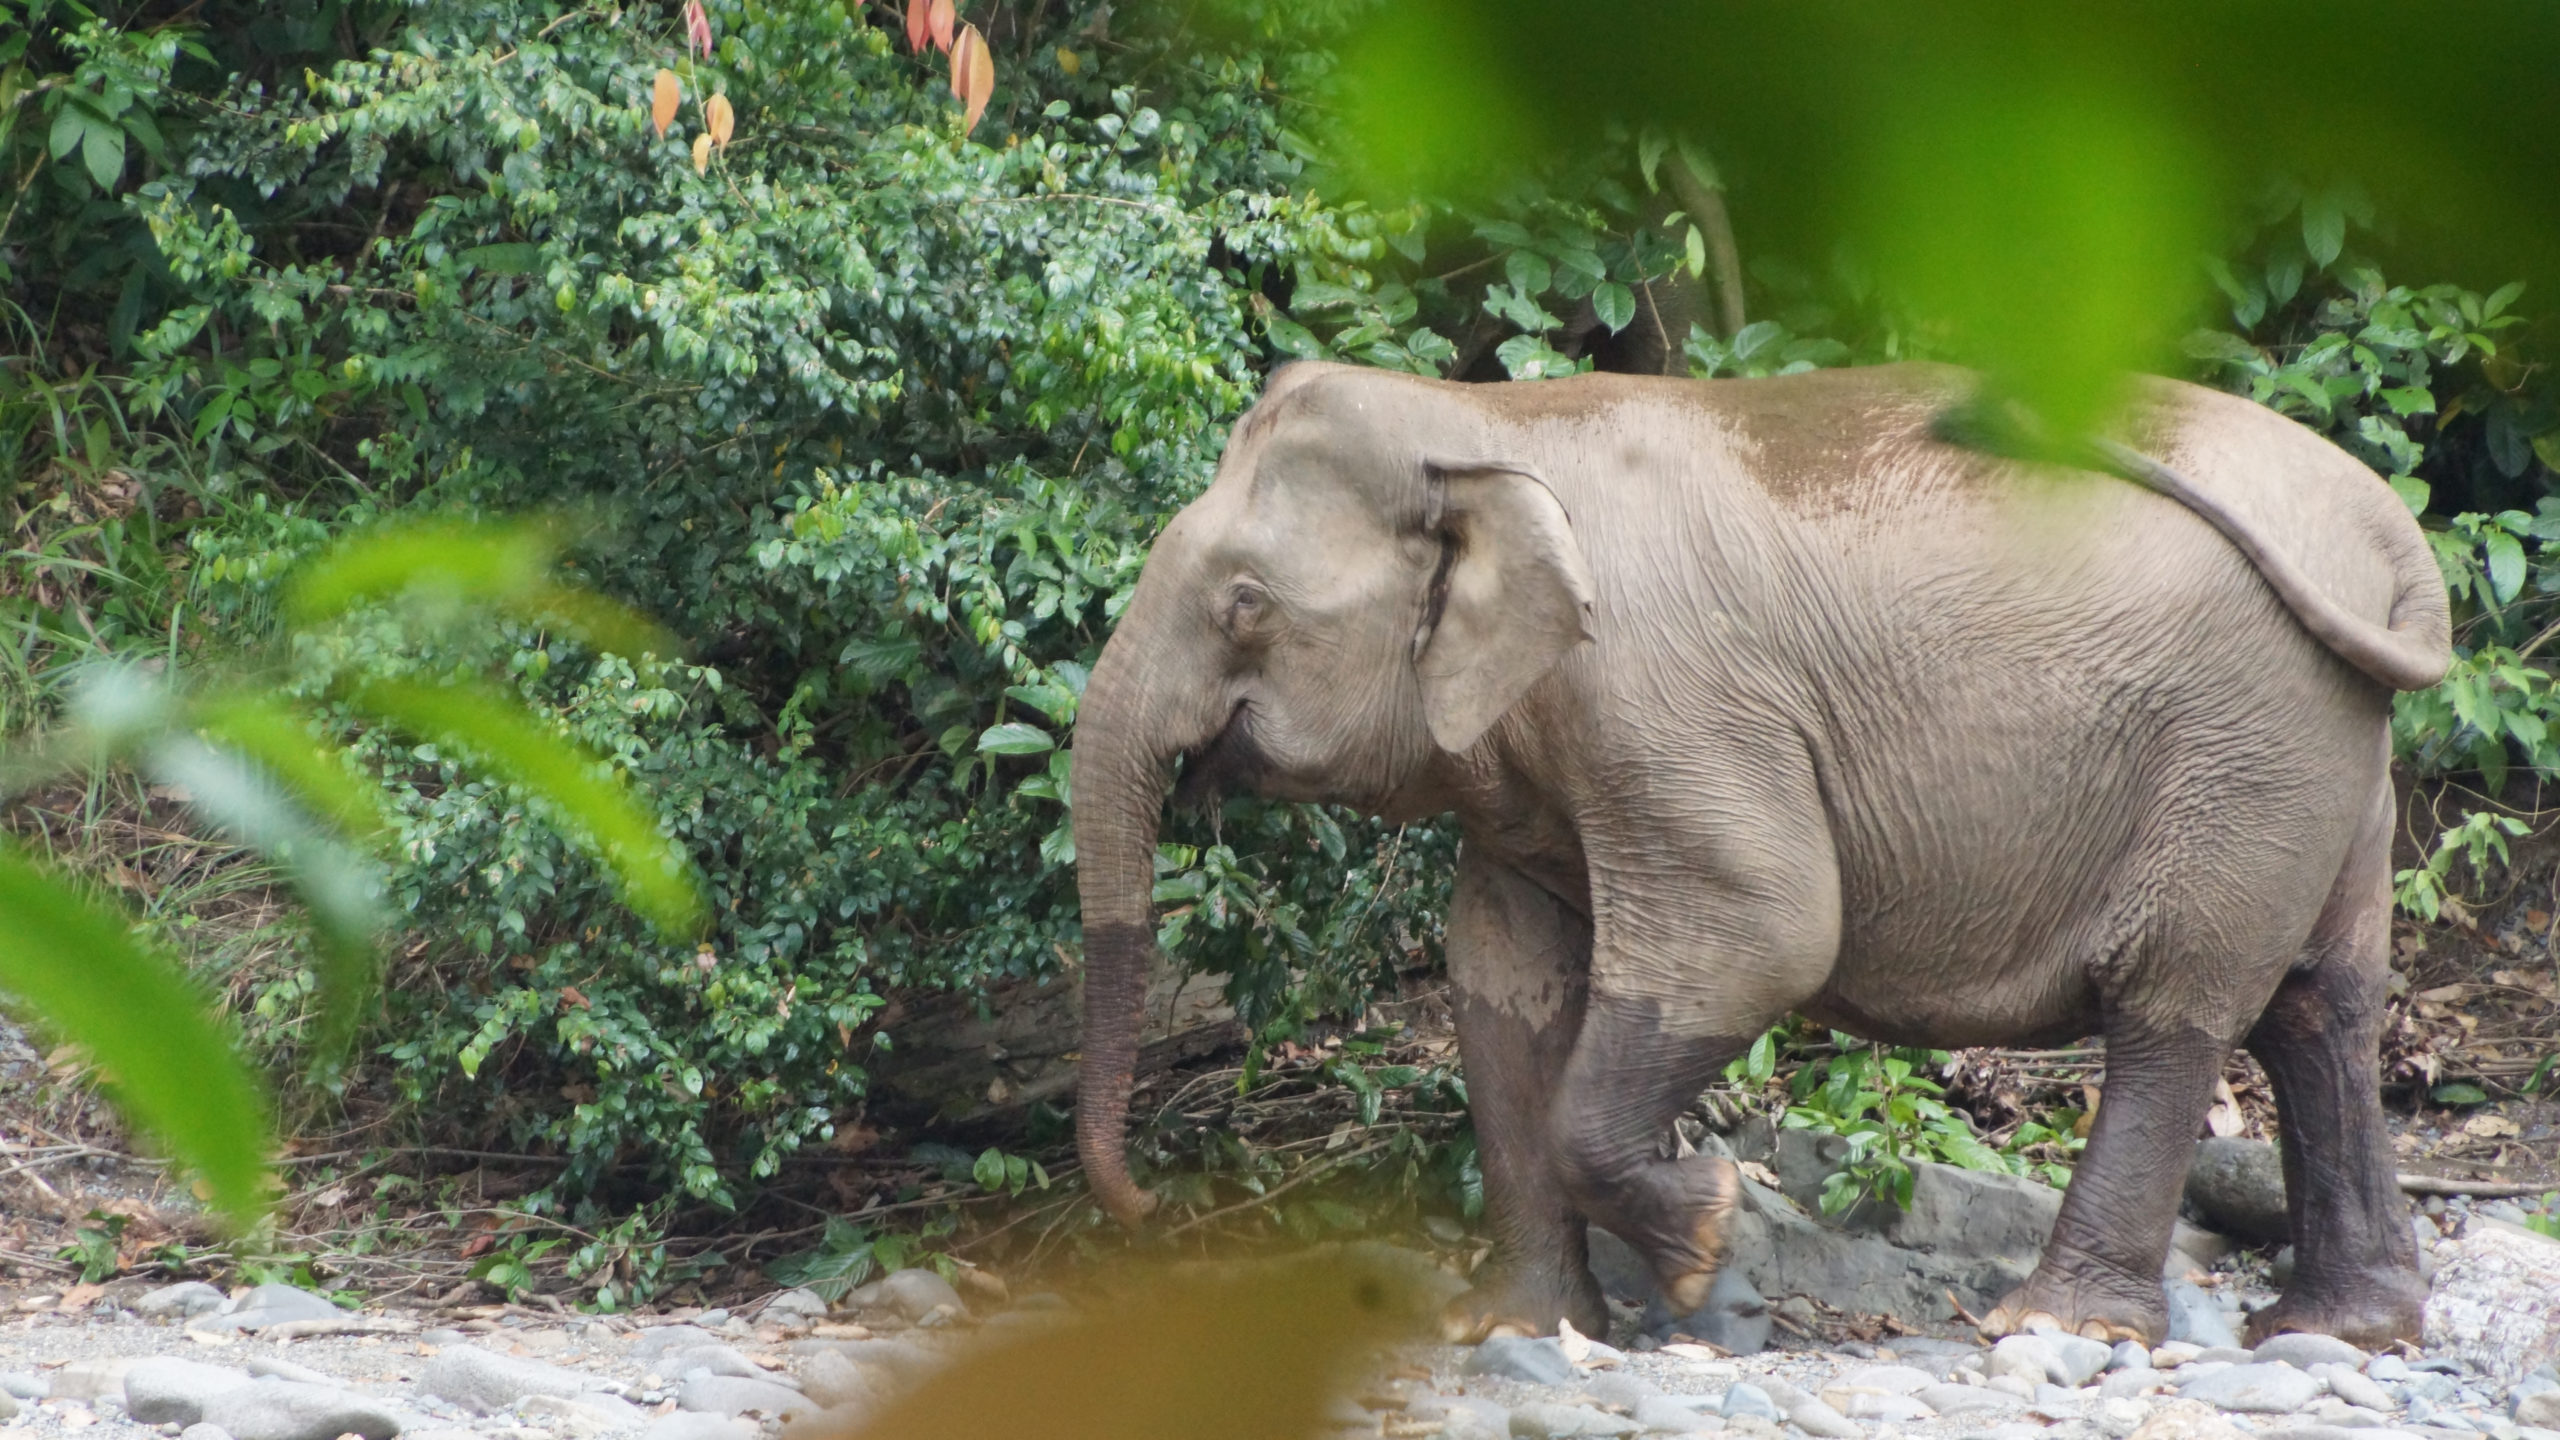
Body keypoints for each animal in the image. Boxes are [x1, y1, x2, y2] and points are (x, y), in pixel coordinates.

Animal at [1068, 359, 2449, 1347]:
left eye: (1245, 603)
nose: (1154, 1209)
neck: (1489, 420)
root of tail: (2392, 534)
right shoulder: (1535, 765)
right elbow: (1498, 987)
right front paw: (1511, 1329)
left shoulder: (1668, 705)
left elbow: (1761, 936)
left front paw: (1703, 1247)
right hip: (2326, 758)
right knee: (2320, 1005)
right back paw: (2340, 1329)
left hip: (2246, 746)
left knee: (2176, 1005)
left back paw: (2052, 1325)